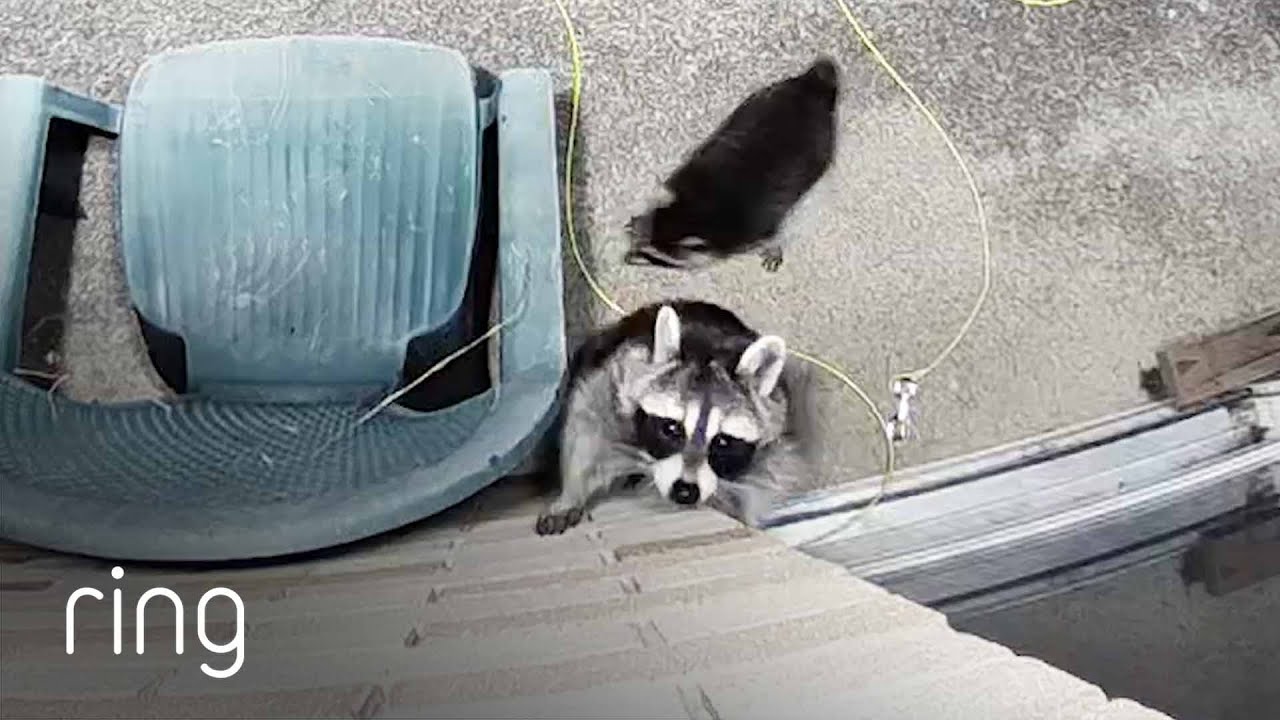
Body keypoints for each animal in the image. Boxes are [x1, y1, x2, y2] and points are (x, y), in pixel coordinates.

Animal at [535, 300, 818, 535]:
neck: (711, 348)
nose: (685, 491)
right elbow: (586, 428)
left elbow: (761, 483)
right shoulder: (614, 378)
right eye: (672, 429)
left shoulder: (775, 431)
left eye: (723, 442)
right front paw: (570, 495)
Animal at [625, 57, 841, 273]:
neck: (695, 209)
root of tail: (810, 87)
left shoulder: (750, 230)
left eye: (656, 259)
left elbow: (769, 238)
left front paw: (774, 248)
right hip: (757, 100)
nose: (627, 259)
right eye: (645, 248)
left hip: (820, 145)